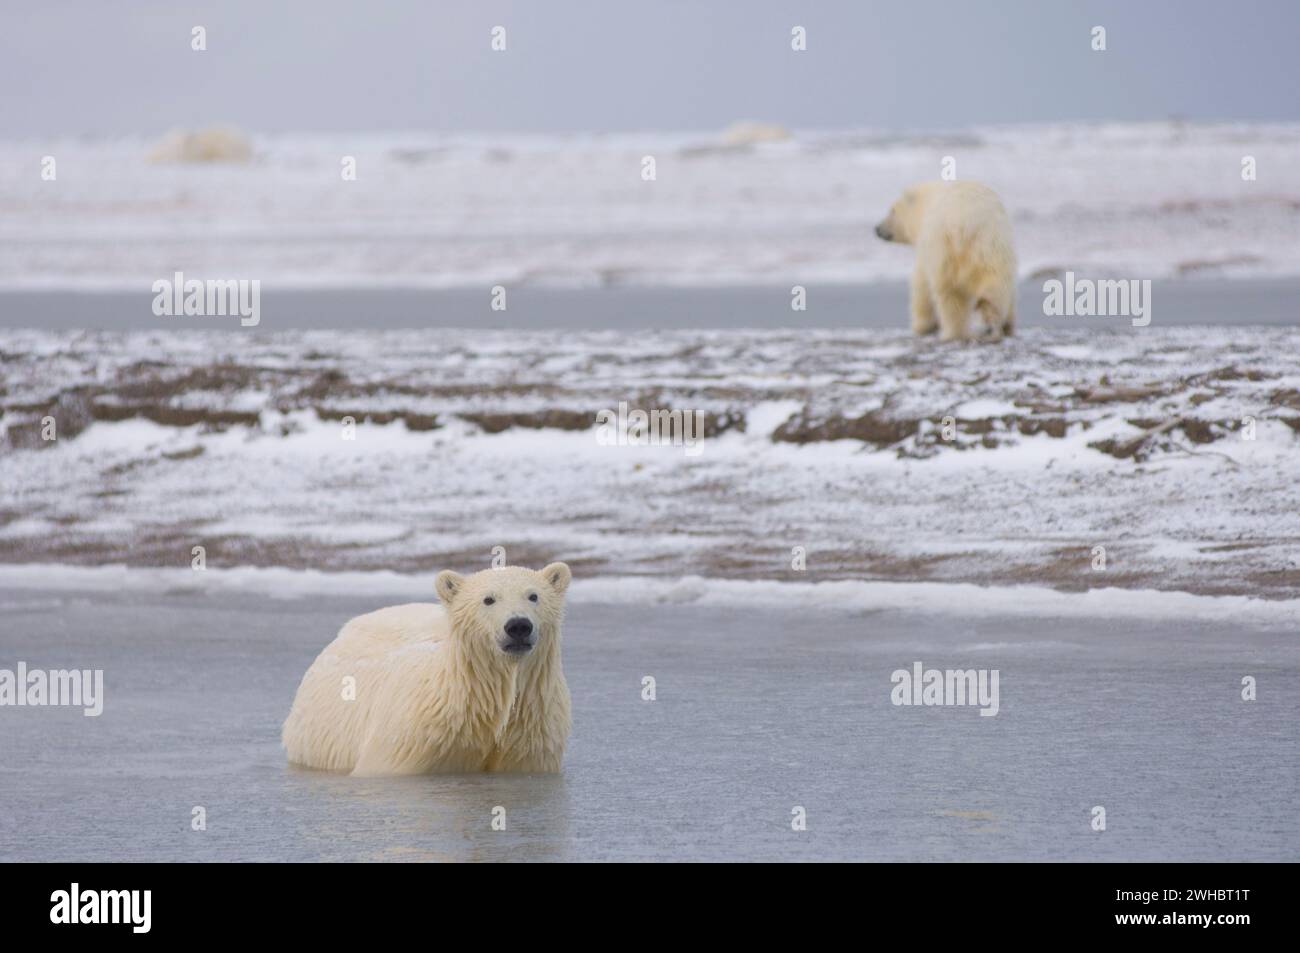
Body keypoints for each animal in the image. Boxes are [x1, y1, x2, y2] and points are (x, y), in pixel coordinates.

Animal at [875, 181, 1017, 341]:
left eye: (892, 211)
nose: (877, 229)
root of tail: (965, 222)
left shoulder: (928, 246)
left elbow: (921, 283)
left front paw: (922, 326)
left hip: (945, 249)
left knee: (949, 294)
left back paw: (952, 333)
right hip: (992, 247)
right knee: (996, 287)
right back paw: (993, 326)